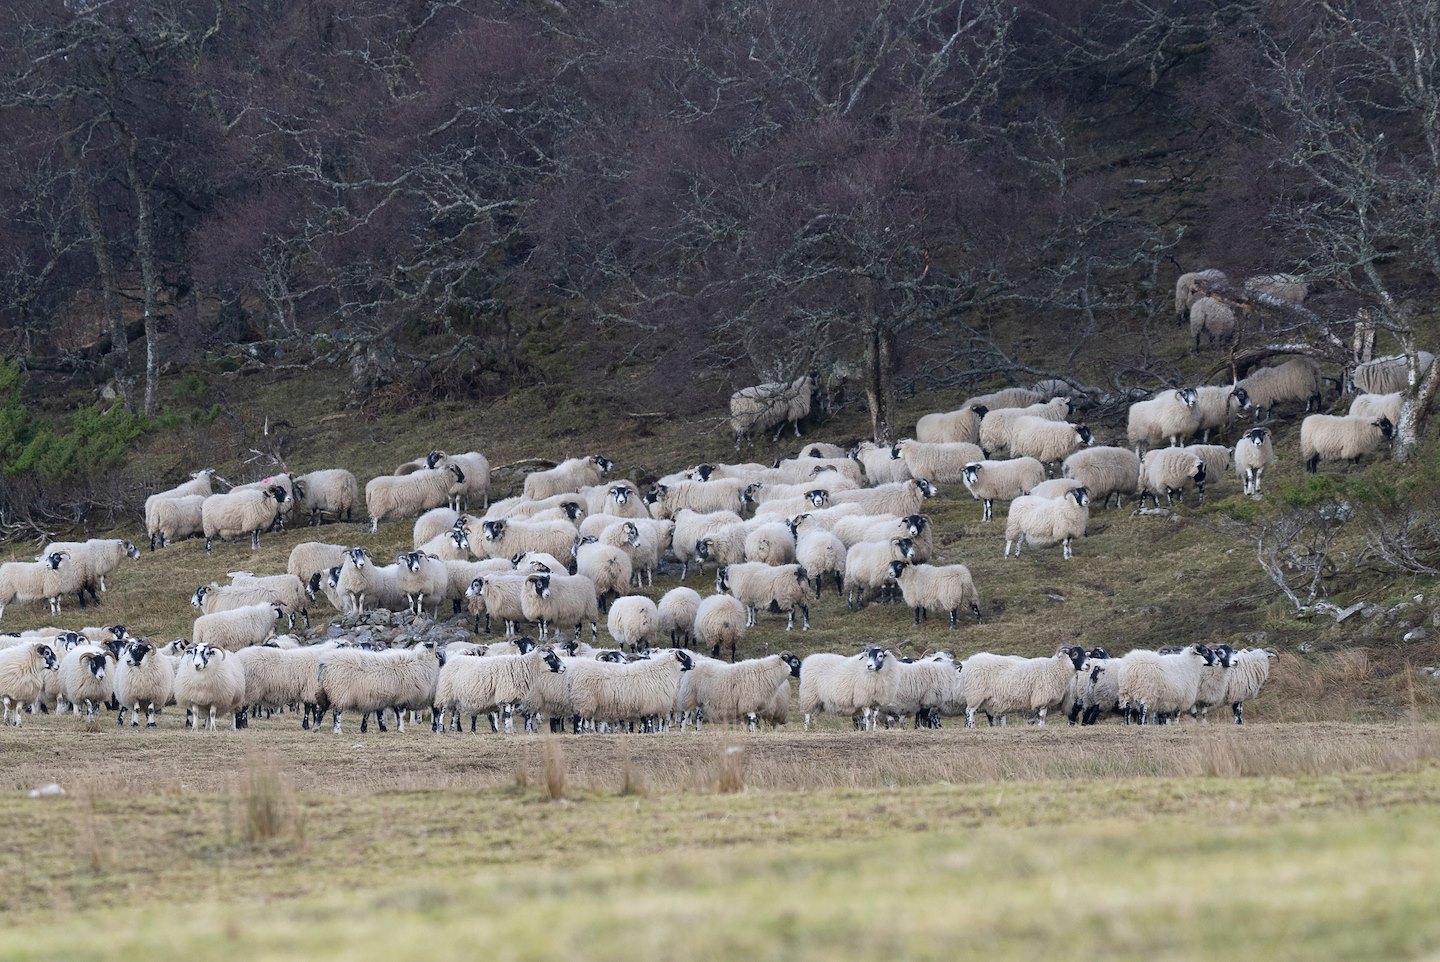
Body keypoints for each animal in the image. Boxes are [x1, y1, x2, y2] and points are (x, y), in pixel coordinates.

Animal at [315, 641, 444, 734]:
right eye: (439, 652)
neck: (423, 663)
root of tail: (325, 664)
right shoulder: (401, 697)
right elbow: (400, 714)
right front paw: (400, 729)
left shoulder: (392, 697)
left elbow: (389, 714)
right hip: (339, 693)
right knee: (336, 713)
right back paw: (337, 730)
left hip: (326, 692)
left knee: (321, 710)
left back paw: (316, 727)